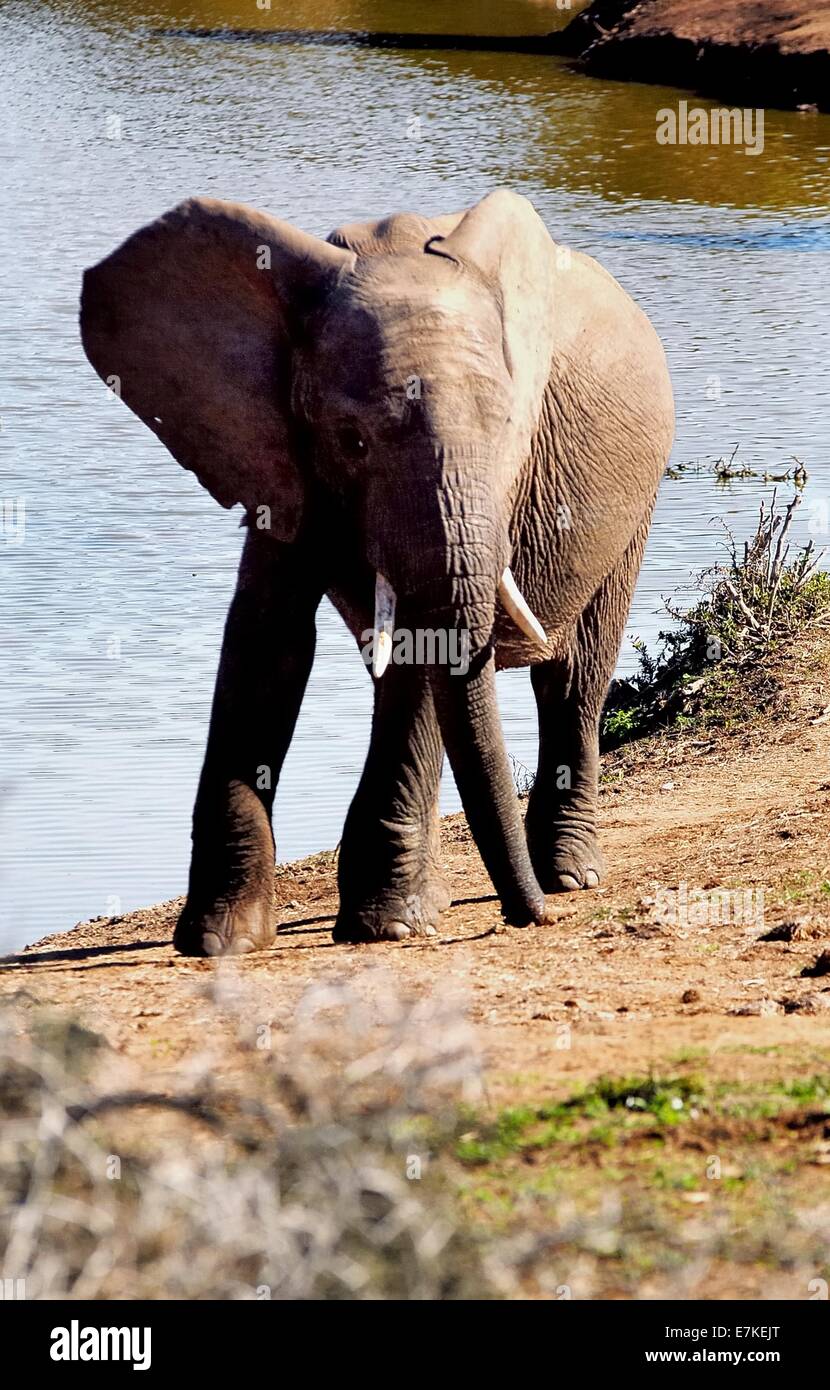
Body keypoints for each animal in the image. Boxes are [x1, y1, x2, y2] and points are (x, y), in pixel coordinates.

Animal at [80, 189, 674, 957]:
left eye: (509, 426)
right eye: (352, 441)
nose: (528, 918)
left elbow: (422, 647)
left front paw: (385, 926)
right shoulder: (277, 448)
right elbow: (267, 639)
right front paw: (220, 941)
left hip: (638, 501)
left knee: (574, 675)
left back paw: (569, 876)